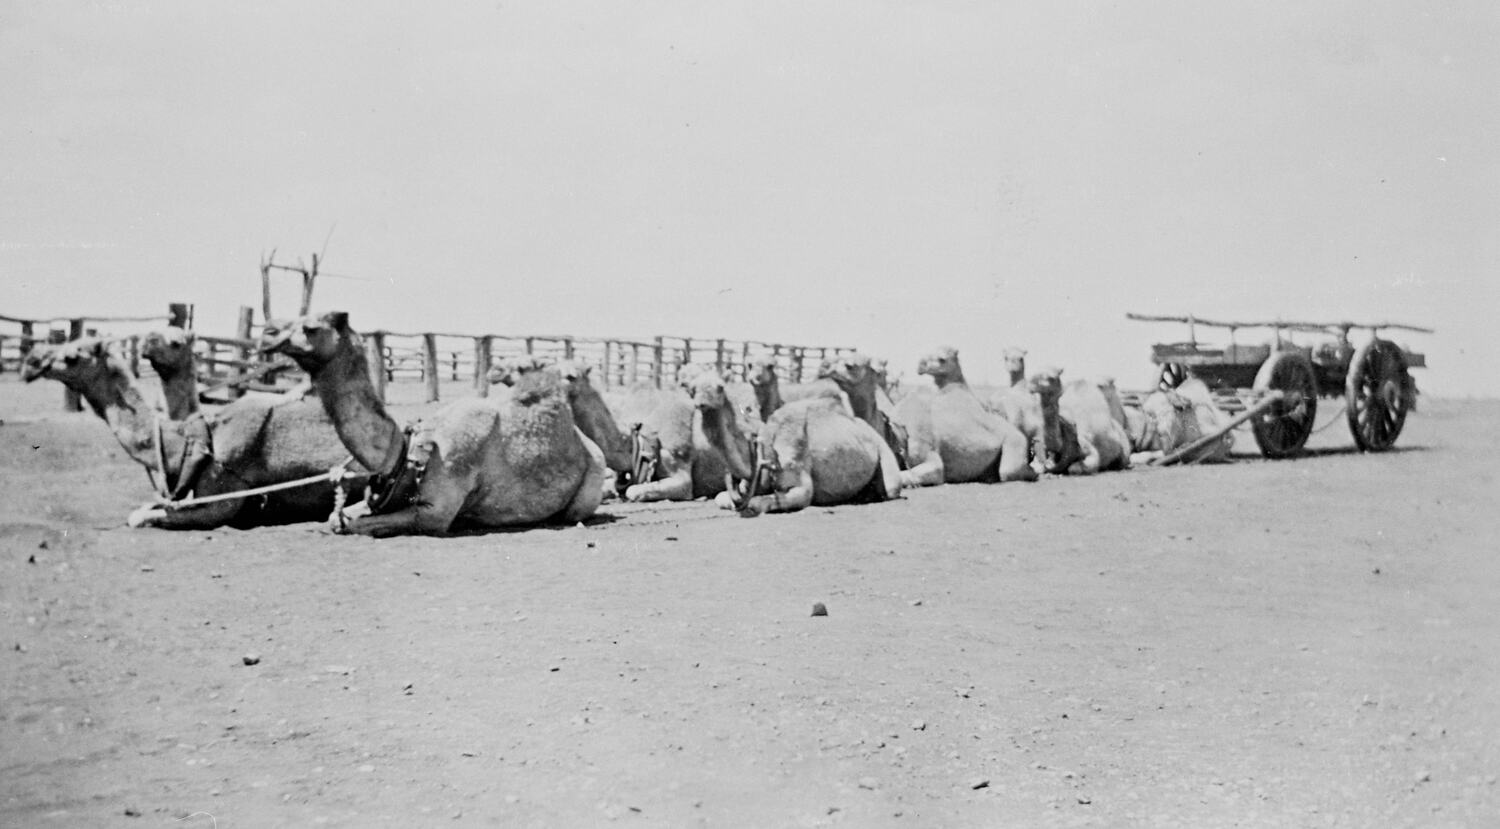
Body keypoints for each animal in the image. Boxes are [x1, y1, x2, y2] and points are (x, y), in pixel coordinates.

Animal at [22, 337, 360, 530]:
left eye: (72, 356)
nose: (31, 361)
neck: (189, 439)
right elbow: (148, 507)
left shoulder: (225, 499)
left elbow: (141, 518)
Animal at [890, 347, 1036, 486]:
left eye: (942, 359)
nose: (921, 365)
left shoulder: (921, 443)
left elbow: (930, 470)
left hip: (1015, 439)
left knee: (1008, 471)